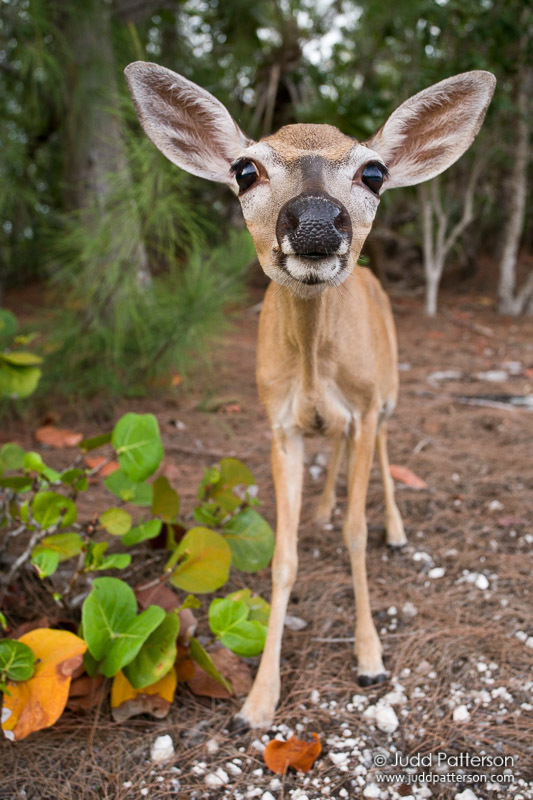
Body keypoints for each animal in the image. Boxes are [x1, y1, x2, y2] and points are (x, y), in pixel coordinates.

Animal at [124, 62, 495, 729]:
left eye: (373, 172)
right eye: (245, 170)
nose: (318, 219)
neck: (315, 365)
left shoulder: (367, 404)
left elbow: (356, 533)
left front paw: (370, 659)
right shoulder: (280, 423)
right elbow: (284, 555)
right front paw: (256, 702)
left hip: (389, 390)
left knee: (380, 452)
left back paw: (395, 528)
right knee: (340, 449)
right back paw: (322, 509)